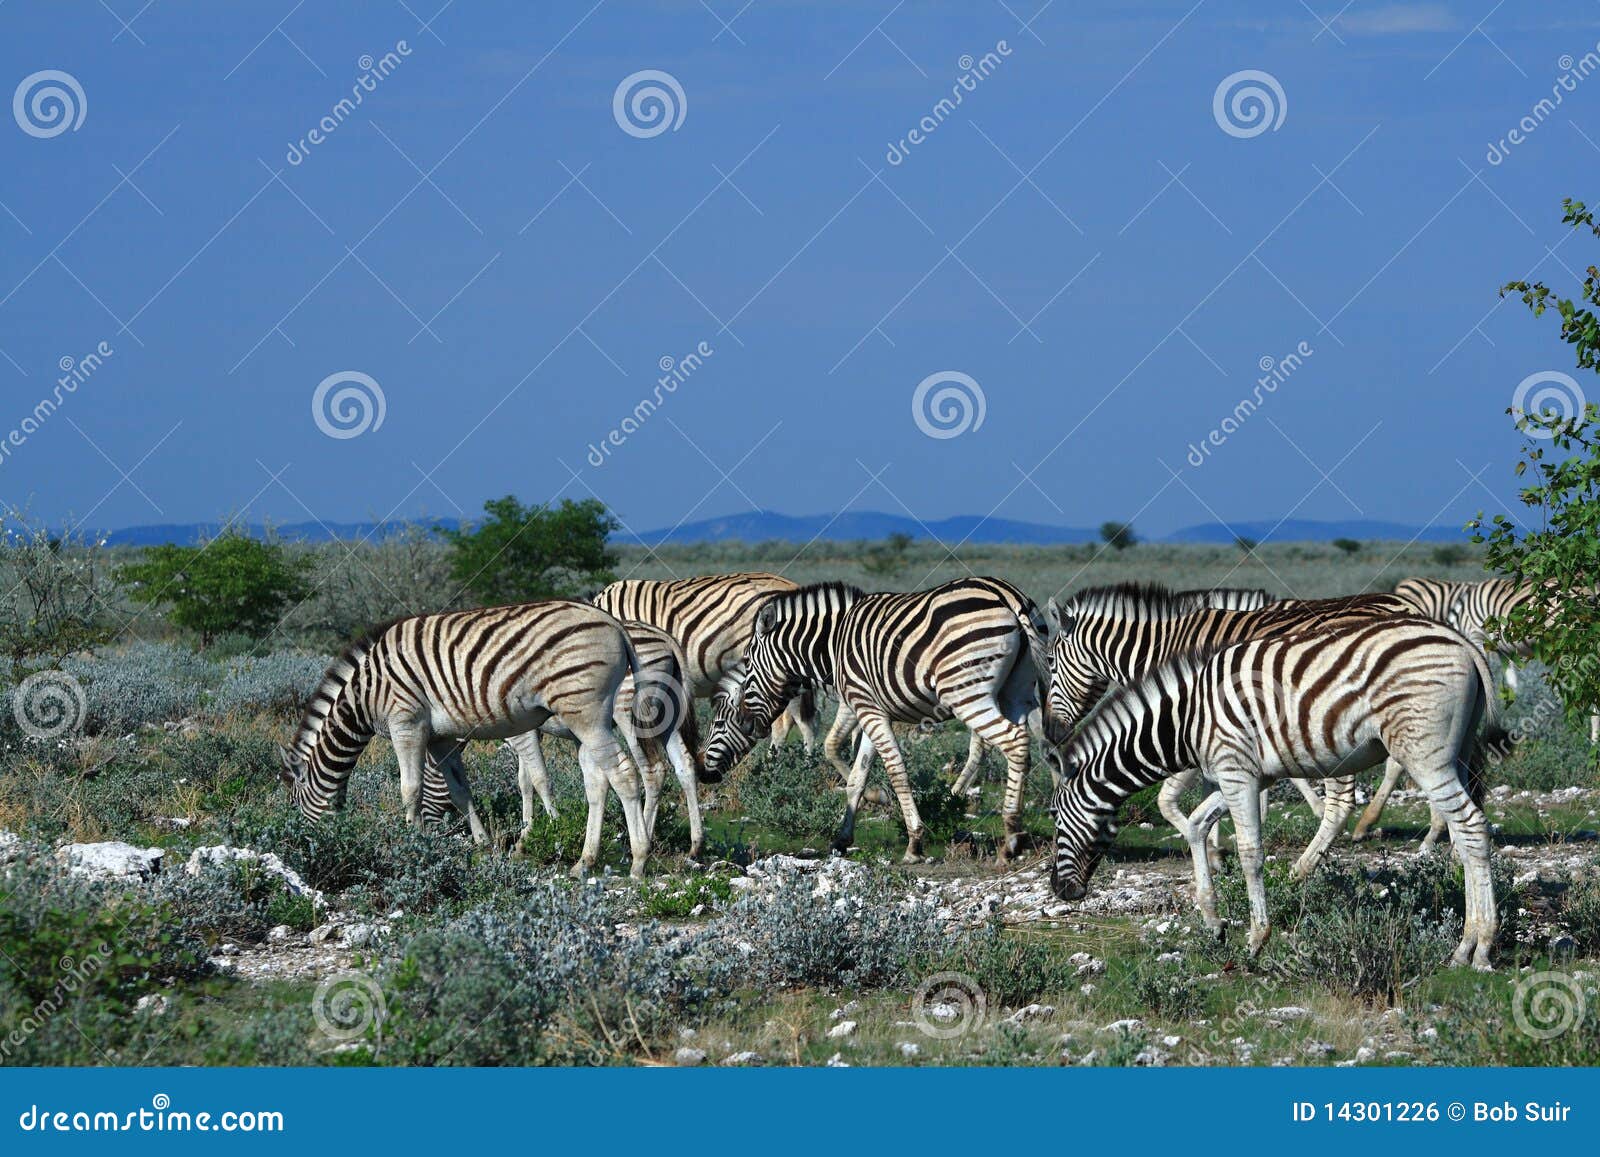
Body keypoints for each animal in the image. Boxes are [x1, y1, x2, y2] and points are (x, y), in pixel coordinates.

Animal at [277, 601, 655, 878]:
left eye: (295, 805)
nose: (303, 851)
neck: (365, 693)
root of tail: (616, 625)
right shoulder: (439, 738)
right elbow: (460, 791)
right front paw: (482, 844)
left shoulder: (406, 723)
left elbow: (410, 789)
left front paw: (411, 845)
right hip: (592, 717)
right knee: (598, 782)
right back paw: (584, 862)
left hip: (584, 711)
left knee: (624, 774)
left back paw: (639, 860)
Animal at [419, 620, 710, 860]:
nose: (428, 836)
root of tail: (664, 637)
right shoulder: (528, 733)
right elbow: (524, 782)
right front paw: (525, 837)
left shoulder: (520, 734)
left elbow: (539, 779)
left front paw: (552, 830)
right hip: (667, 714)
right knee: (684, 764)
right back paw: (695, 845)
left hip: (631, 713)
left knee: (652, 769)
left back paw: (642, 838)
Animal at [702, 577, 1062, 862]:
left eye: (749, 667)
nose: (706, 774)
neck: (830, 644)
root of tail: (1008, 596)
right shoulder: (870, 709)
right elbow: (855, 772)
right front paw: (843, 837)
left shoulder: (863, 704)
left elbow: (892, 768)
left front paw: (913, 840)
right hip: (1018, 692)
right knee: (1046, 744)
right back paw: (1052, 818)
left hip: (967, 693)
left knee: (1014, 742)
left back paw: (1011, 836)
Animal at [1049, 616, 1503, 968]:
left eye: (1055, 819)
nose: (1059, 891)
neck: (1186, 718)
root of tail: (1460, 640)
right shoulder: (1246, 775)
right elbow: (1196, 825)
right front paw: (1214, 922)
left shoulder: (1236, 772)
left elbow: (1250, 852)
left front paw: (1256, 939)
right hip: (1456, 752)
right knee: (1463, 837)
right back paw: (1464, 946)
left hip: (1423, 753)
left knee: (1472, 826)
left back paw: (1482, 947)